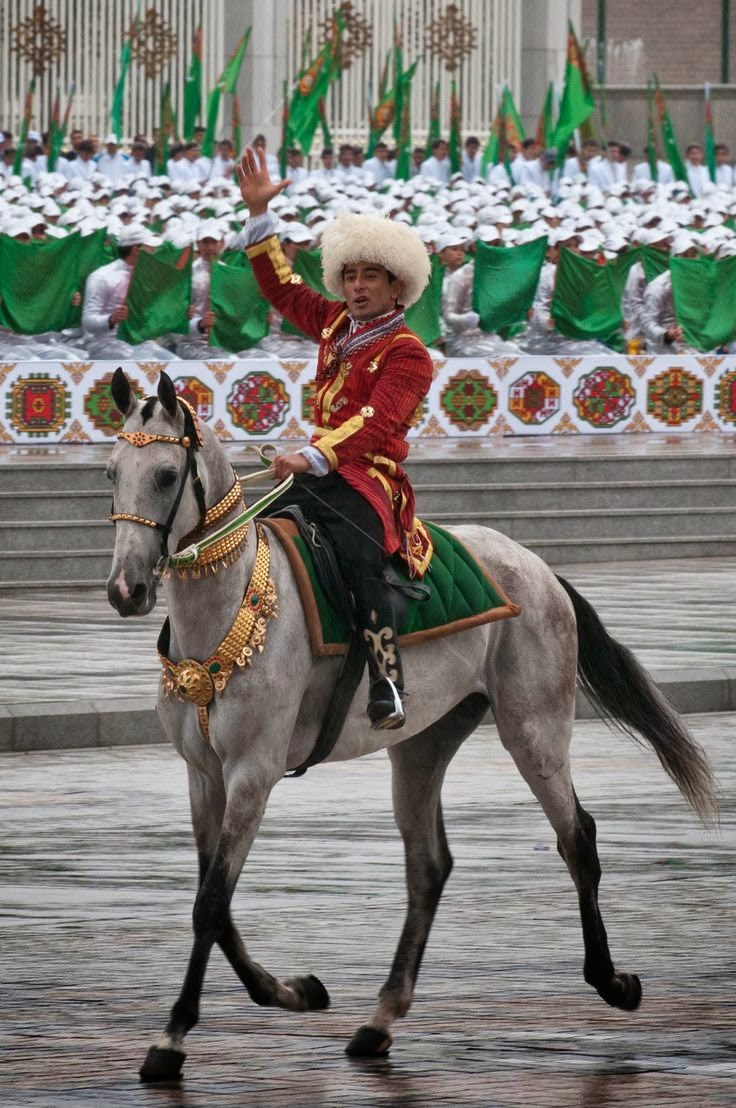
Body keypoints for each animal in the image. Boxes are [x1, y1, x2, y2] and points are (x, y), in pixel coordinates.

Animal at [106, 368, 716, 1082]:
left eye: (166, 474)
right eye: (111, 472)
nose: (126, 590)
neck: (228, 609)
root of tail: (537, 567)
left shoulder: (253, 772)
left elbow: (210, 905)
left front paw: (172, 1038)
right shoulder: (204, 775)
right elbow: (216, 903)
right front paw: (294, 992)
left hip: (533, 727)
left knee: (577, 838)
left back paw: (613, 982)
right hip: (424, 741)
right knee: (429, 866)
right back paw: (380, 1019)